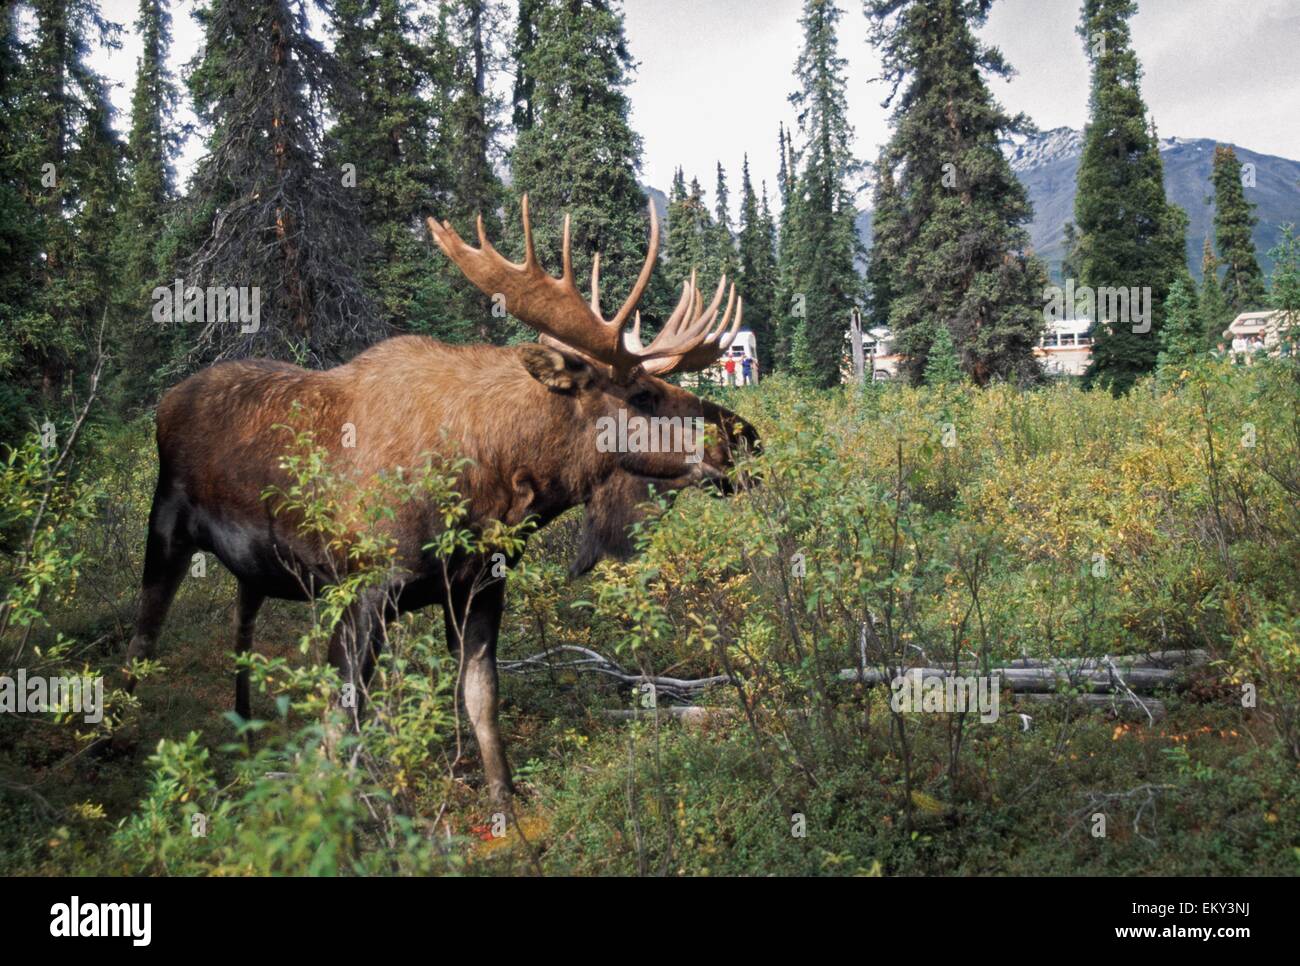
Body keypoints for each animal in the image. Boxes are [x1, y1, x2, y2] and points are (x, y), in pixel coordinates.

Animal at [125, 196, 758, 803]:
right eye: (644, 393)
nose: (743, 436)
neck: (496, 485)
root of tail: (165, 402)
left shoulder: (482, 587)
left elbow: (482, 701)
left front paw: (503, 802)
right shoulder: (365, 586)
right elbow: (339, 726)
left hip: (251, 572)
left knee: (241, 629)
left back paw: (243, 728)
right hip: (166, 529)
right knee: (142, 637)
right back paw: (120, 737)